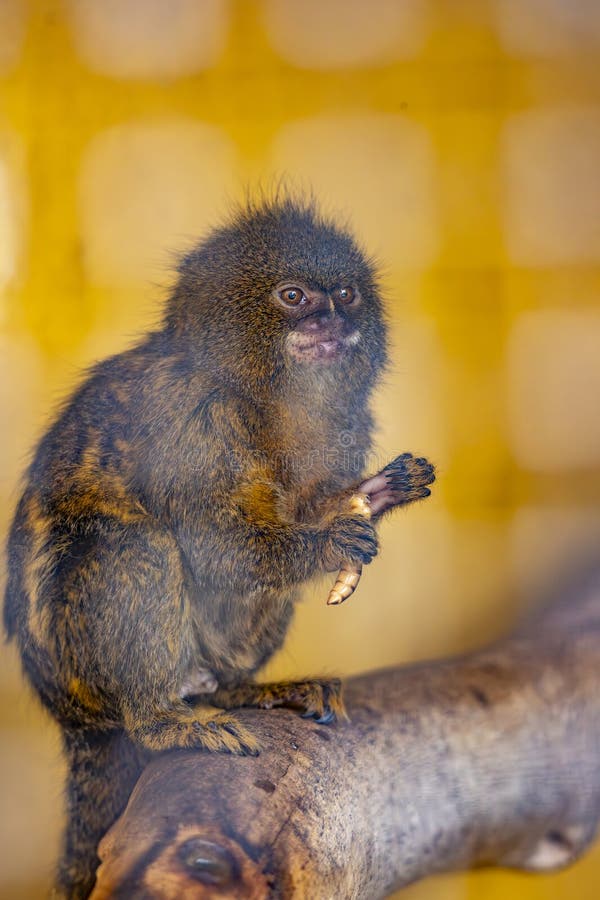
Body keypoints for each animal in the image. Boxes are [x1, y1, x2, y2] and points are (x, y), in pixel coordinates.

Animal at [3, 196, 435, 899]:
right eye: (294, 296)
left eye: (345, 294)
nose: (332, 320)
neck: (265, 397)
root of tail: (70, 719)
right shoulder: (190, 419)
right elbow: (220, 550)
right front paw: (334, 539)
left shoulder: (346, 426)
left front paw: (380, 493)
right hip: (84, 670)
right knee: (133, 545)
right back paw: (160, 718)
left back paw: (237, 691)